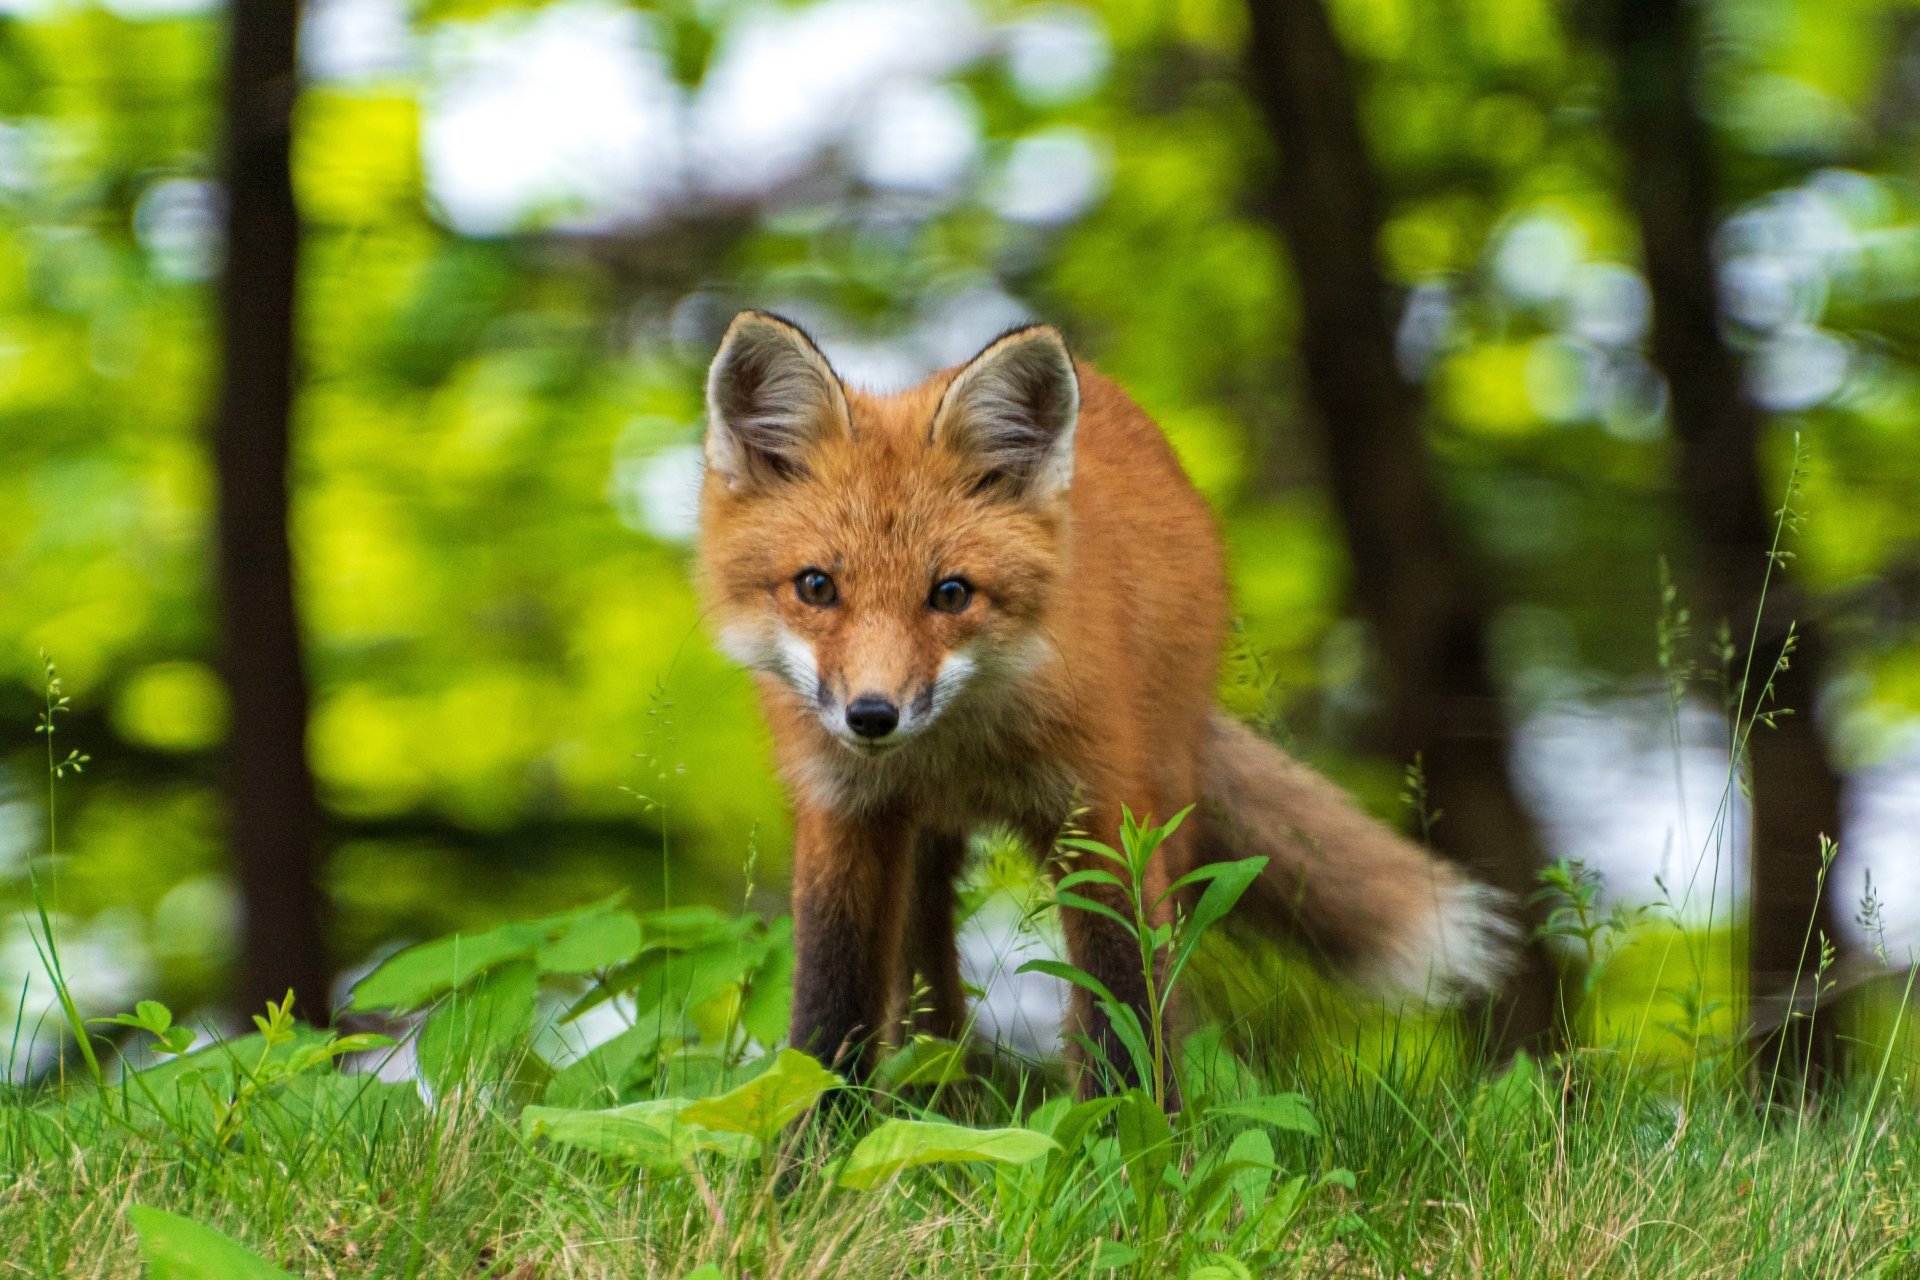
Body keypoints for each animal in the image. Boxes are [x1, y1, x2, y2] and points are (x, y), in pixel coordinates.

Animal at [696, 310, 1517, 1094]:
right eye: (816, 586)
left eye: (950, 594)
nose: (872, 715)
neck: (955, 753)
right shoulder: (845, 817)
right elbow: (829, 1013)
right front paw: (812, 1144)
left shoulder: (1101, 809)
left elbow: (1125, 1004)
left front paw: (1134, 1133)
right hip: (918, 859)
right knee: (927, 999)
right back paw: (941, 1102)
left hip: (1165, 796)